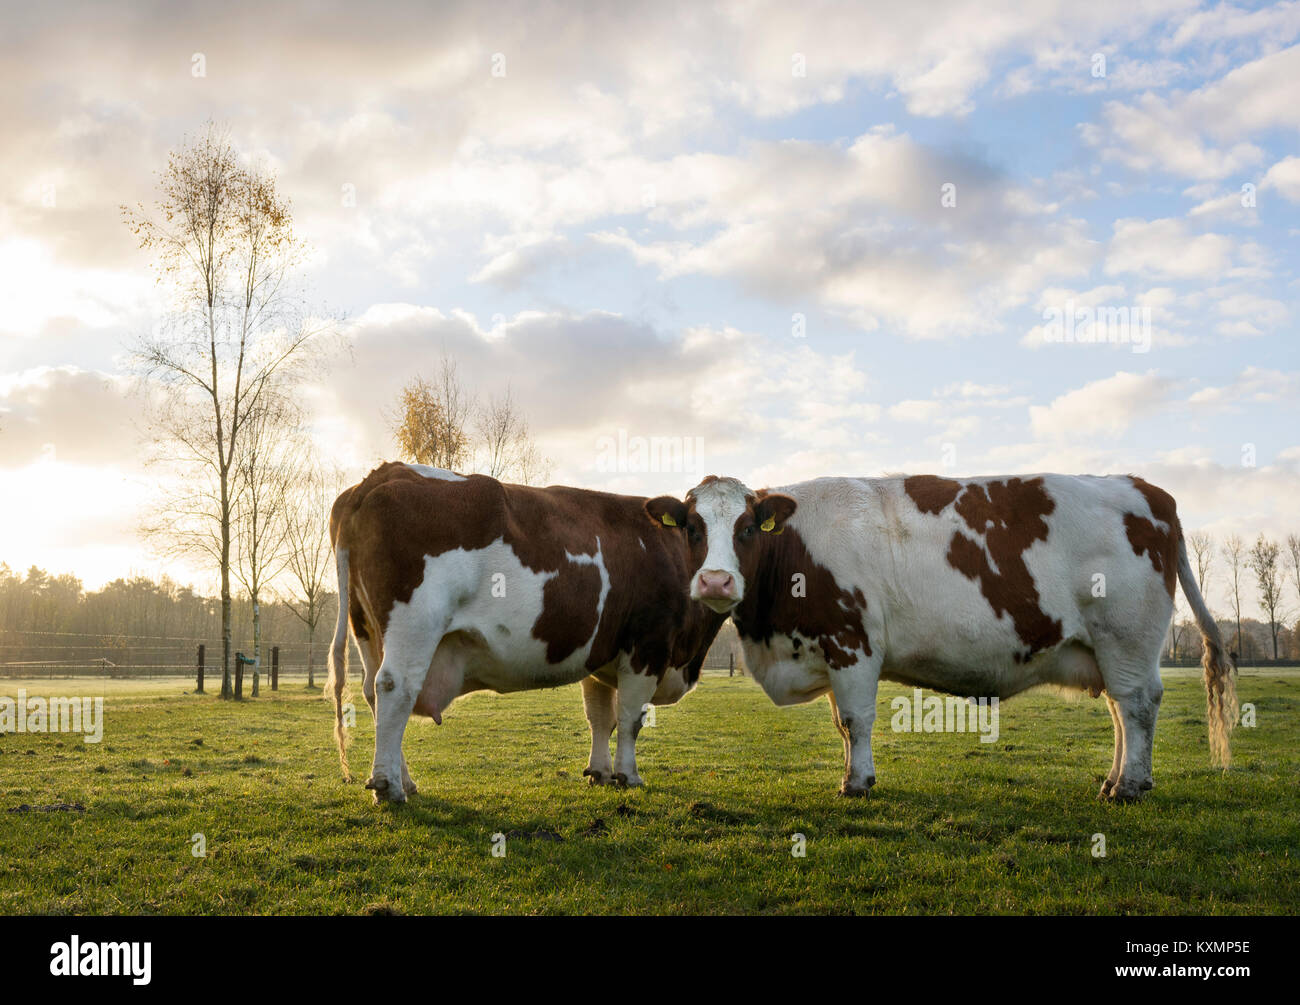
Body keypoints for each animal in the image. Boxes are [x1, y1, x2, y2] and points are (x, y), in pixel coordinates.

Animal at [327, 462, 726, 803]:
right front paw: (629, 776)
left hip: (367, 630)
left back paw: (405, 780)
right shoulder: (648, 647)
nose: (718, 581)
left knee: (373, 693)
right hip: (414, 623)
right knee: (395, 688)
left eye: (740, 531)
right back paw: (388, 786)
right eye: (694, 528)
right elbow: (630, 719)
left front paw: (600, 773)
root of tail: (381, 474)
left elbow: (601, 717)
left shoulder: (601, 654)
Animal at [645, 473, 1237, 802]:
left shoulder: (853, 644)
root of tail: (1145, 489)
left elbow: (854, 721)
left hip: (1126, 637)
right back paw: (1114, 780)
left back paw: (1130, 788)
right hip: (1110, 649)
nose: (716, 581)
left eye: (747, 528)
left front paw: (857, 783)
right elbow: (842, 725)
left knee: (1137, 706)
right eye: (693, 528)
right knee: (1120, 710)